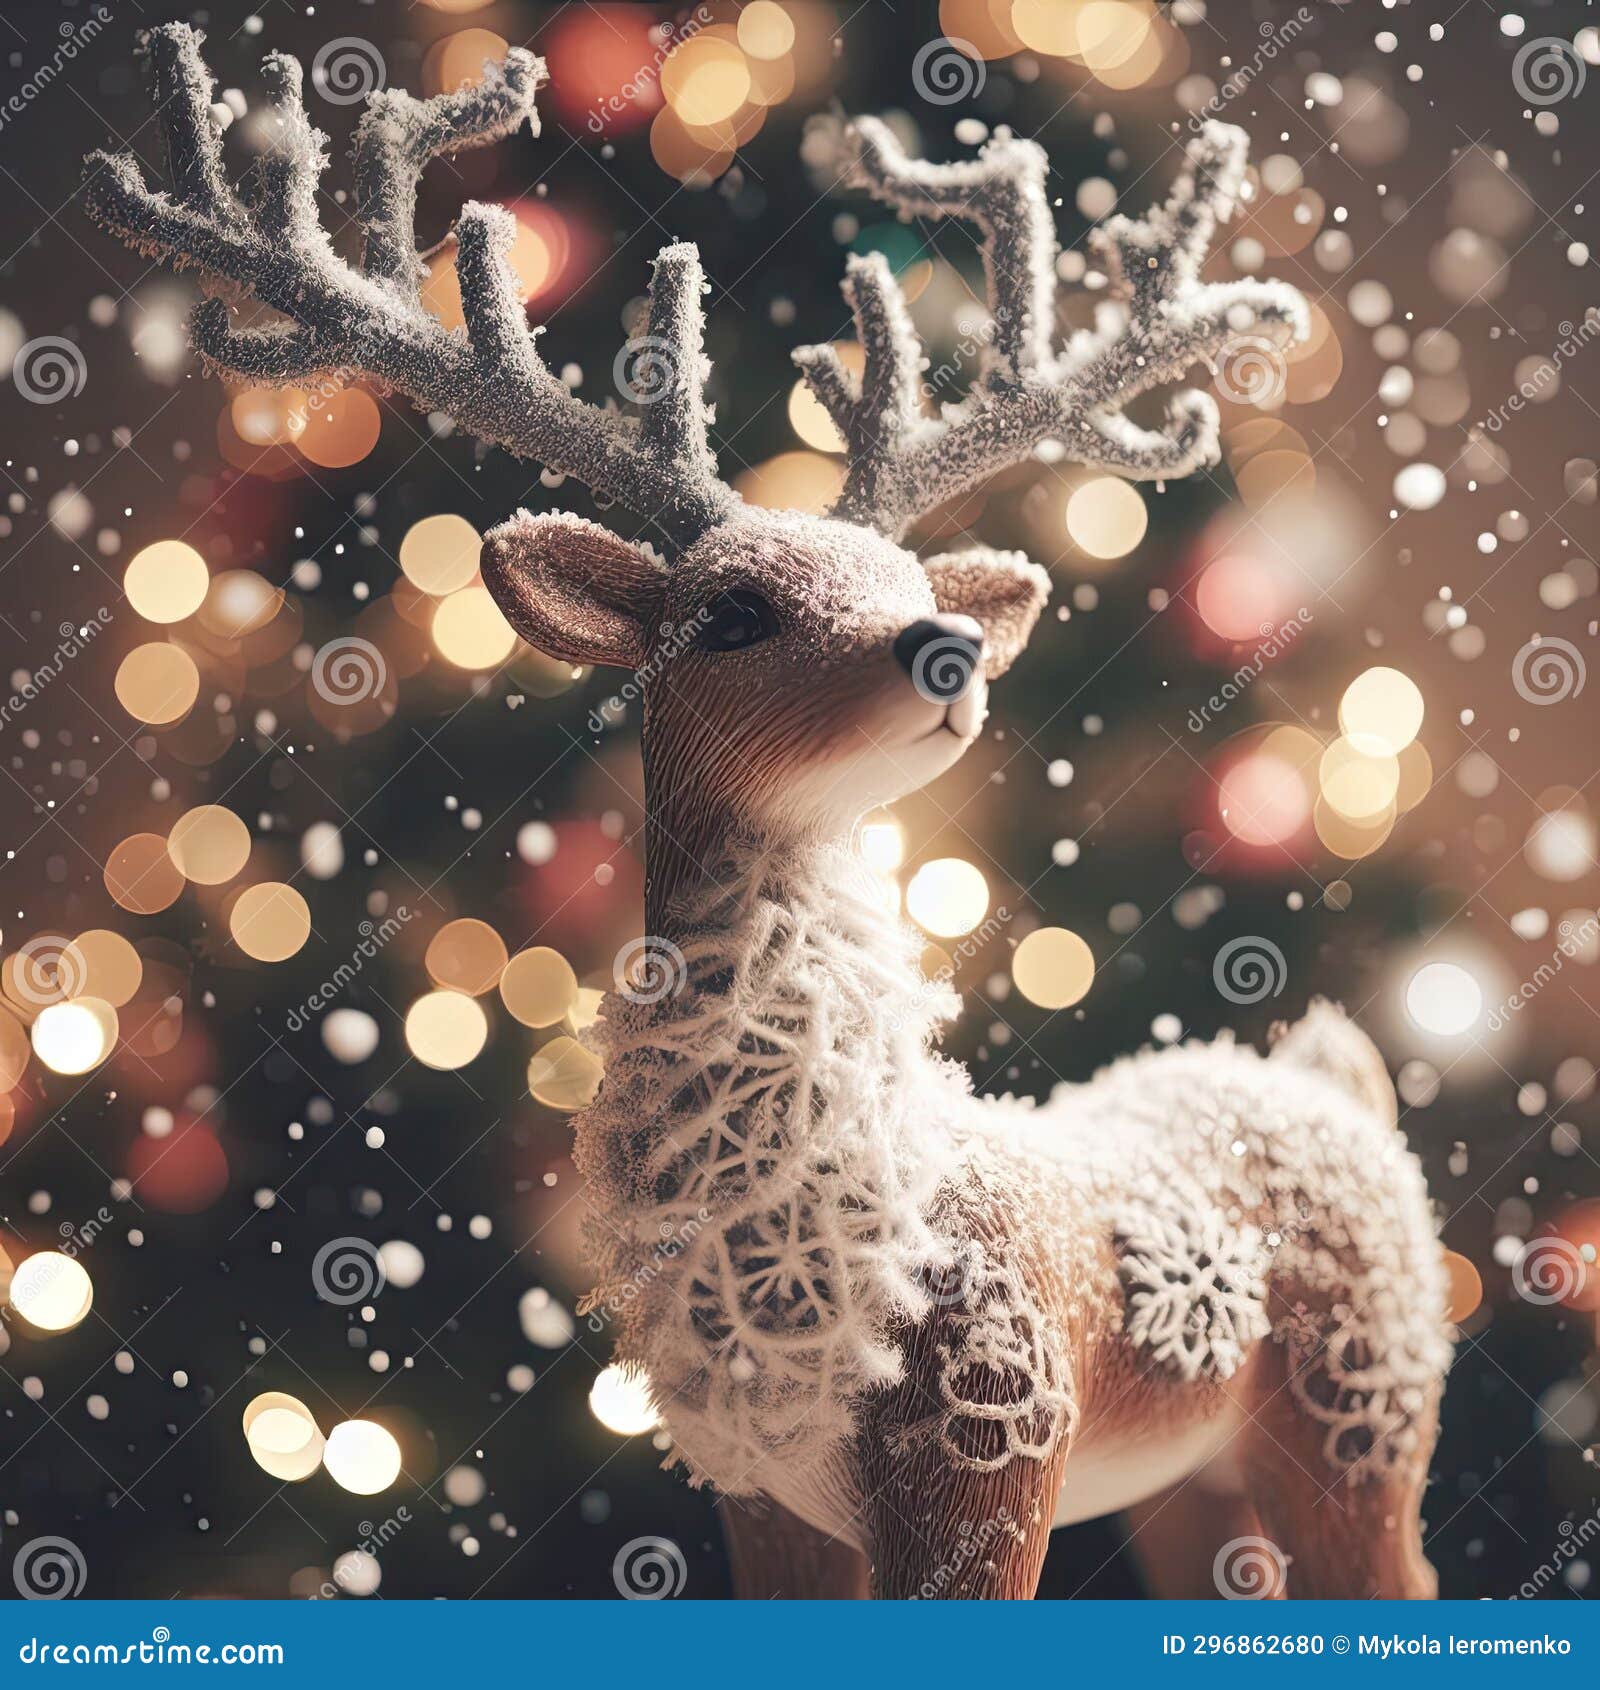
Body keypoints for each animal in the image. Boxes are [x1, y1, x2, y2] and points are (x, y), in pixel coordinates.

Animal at [86, 26, 1452, 1601]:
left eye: (913, 581)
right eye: (730, 610)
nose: (948, 647)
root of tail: (1332, 1084)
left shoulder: (997, 1434)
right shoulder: (759, 1488)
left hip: (1363, 1397)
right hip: (1193, 1464)